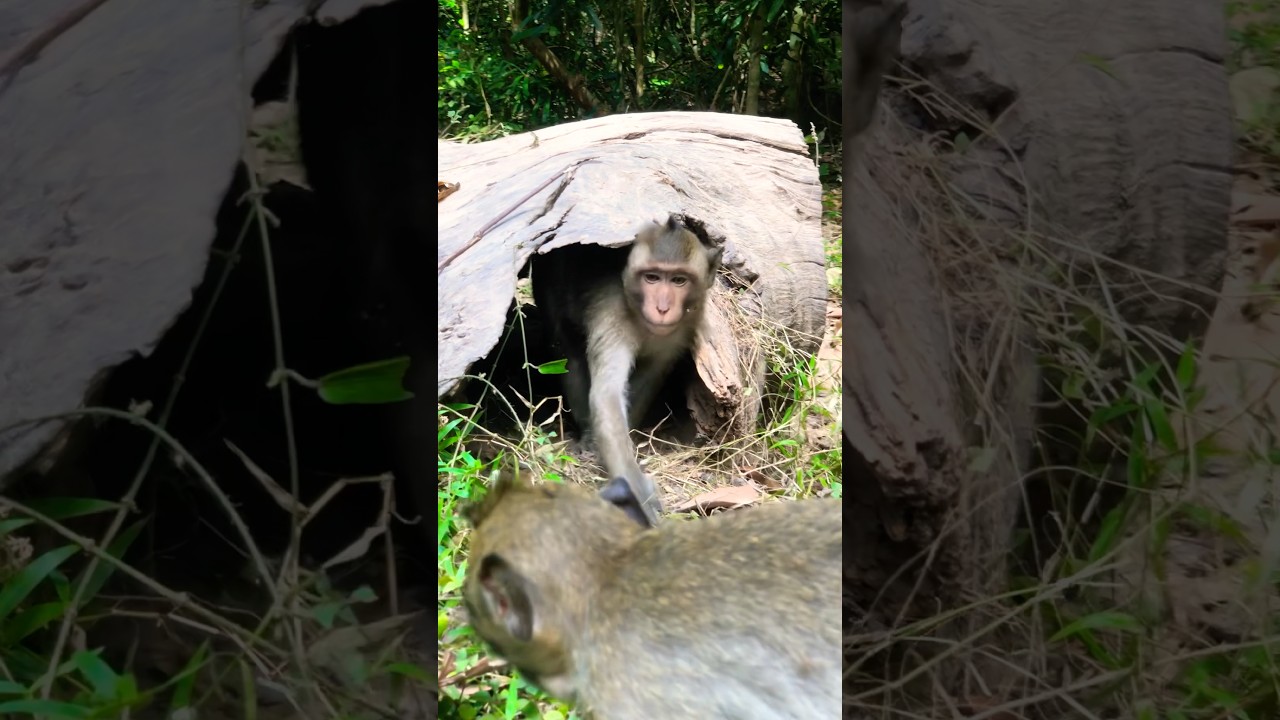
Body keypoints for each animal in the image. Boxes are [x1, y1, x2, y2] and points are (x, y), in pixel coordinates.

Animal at [531, 214, 723, 527]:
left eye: (679, 280)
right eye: (652, 277)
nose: (662, 308)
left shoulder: (679, 332)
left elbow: (649, 377)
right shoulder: (612, 316)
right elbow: (607, 396)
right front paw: (638, 492)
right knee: (569, 353)